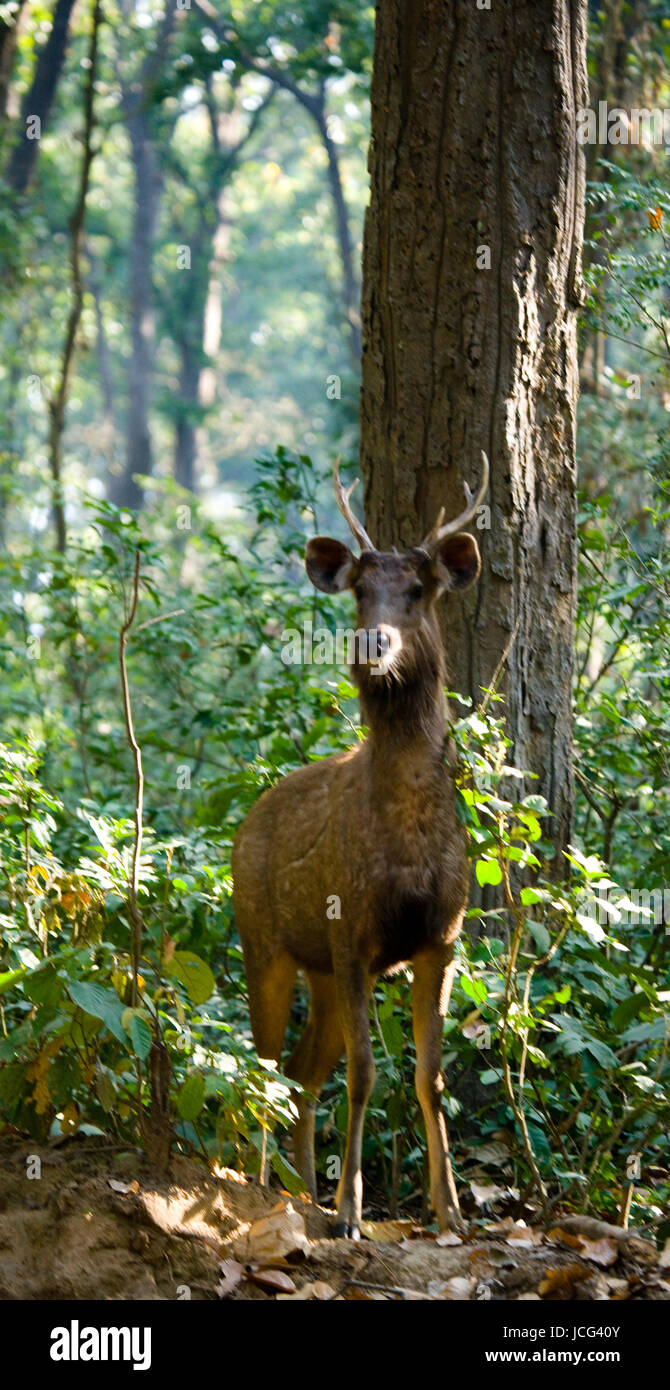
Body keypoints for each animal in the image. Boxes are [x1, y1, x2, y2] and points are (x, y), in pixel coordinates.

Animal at [231, 453, 489, 1237]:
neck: (406, 841)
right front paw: (350, 1208)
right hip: (264, 940)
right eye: (359, 591)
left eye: (418, 589)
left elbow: (430, 1076)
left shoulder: (442, 937)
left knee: (302, 1070)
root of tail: (246, 823)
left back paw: (301, 1186)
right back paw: (269, 1185)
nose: (372, 643)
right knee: (265, 1062)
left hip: (315, 966)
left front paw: (451, 1211)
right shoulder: (352, 935)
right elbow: (367, 1073)